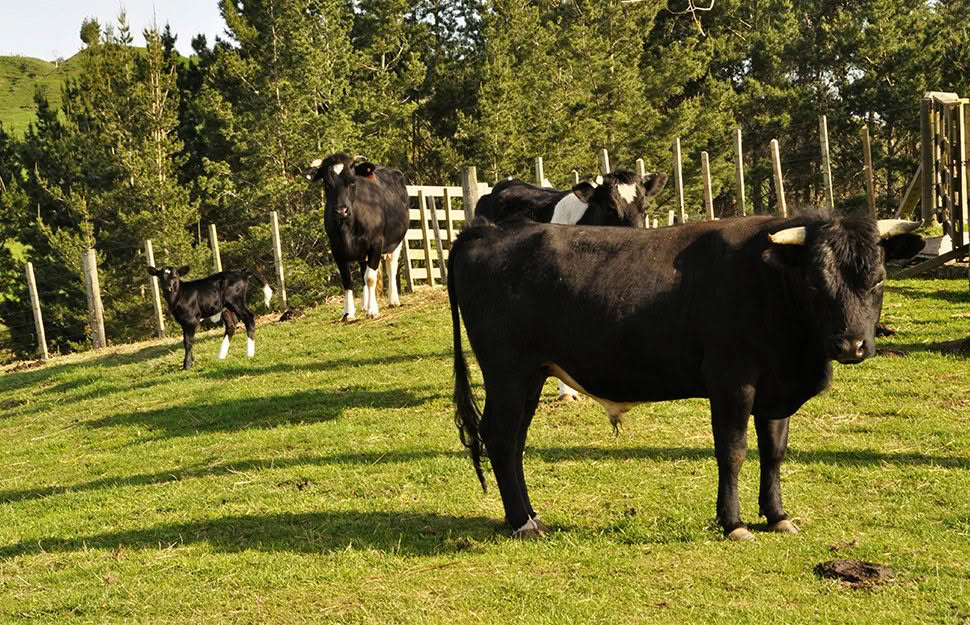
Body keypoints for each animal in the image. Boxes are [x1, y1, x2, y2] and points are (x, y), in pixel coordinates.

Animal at [305, 153, 409, 321]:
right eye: (326, 184)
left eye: (352, 182)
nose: (341, 210)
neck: (348, 226)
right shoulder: (336, 248)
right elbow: (347, 280)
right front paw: (348, 313)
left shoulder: (376, 243)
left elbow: (371, 278)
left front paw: (373, 310)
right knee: (363, 271)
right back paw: (365, 304)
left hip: (396, 242)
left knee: (391, 268)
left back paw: (393, 300)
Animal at [448, 214, 925, 540]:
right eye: (814, 284)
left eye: (878, 279)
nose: (850, 345)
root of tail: (487, 231)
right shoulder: (732, 382)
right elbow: (733, 452)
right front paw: (733, 523)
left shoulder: (775, 390)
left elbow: (774, 453)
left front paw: (777, 516)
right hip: (508, 373)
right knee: (501, 437)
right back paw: (522, 523)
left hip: (531, 376)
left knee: (514, 442)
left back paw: (529, 515)